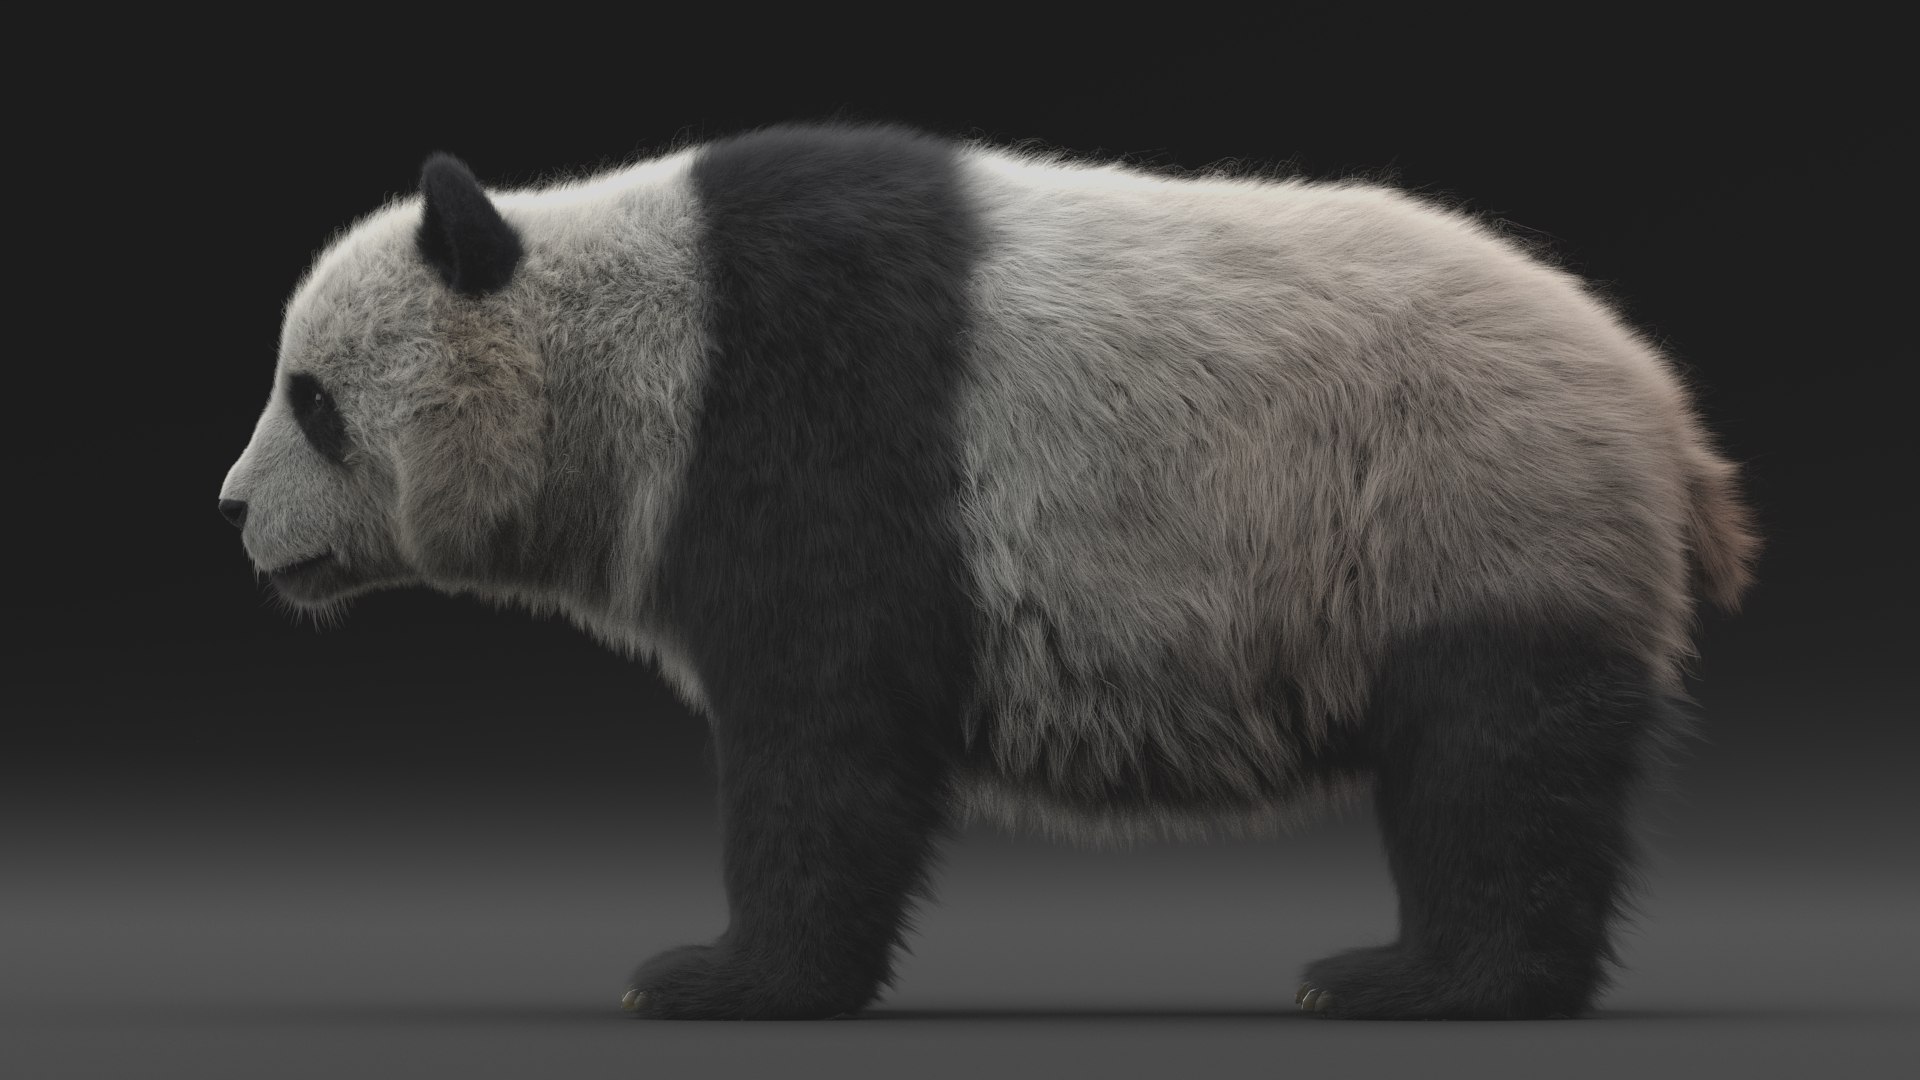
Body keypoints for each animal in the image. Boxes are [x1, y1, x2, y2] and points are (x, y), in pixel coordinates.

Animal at [218, 122, 1758, 1021]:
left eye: (314, 401)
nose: (233, 513)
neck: (644, 331)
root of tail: (1664, 417)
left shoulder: (812, 418)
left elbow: (828, 736)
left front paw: (727, 978)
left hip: (1468, 506)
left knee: (1500, 762)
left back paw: (1437, 984)